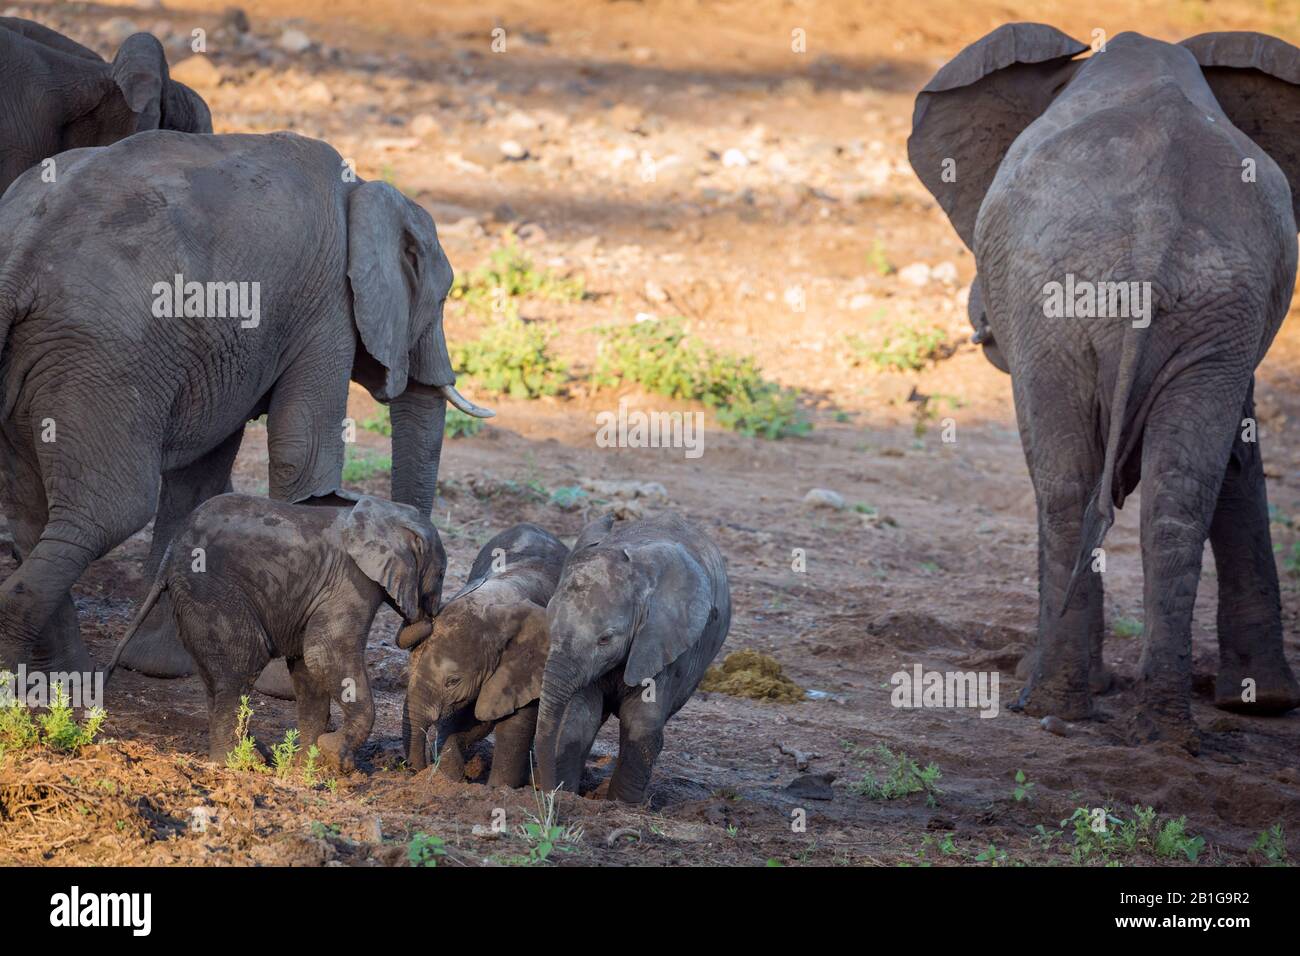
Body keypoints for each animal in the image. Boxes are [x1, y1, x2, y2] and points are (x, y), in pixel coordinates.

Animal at [0, 130, 491, 675]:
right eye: (443, 298)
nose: (417, 631)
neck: (362, 188)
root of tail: (19, 257)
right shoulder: (326, 306)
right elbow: (305, 450)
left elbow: (202, 471)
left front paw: (164, 665)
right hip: (103, 358)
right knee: (110, 511)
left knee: (32, 510)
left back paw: (60, 676)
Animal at [107, 493, 447, 770]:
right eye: (442, 573)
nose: (429, 619)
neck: (383, 514)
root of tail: (169, 555)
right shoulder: (352, 582)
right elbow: (324, 652)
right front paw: (335, 758)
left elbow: (308, 666)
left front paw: (306, 766)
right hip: (213, 592)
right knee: (241, 664)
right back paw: (234, 763)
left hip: (192, 602)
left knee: (215, 677)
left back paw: (253, 756)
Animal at [401, 523, 569, 787]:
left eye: (453, 681)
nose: (413, 770)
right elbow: (463, 722)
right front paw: (449, 780)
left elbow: (515, 726)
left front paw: (499, 790)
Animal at [535, 512, 730, 803]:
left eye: (605, 639)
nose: (548, 791)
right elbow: (579, 718)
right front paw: (571, 794)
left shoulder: (666, 643)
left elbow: (641, 723)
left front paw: (621, 804)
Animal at [908, 24, 1300, 747]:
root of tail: (1153, 235)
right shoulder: (1234, 331)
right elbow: (1235, 455)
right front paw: (1262, 704)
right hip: (1197, 304)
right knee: (1174, 495)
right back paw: (1160, 732)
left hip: (1057, 306)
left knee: (1064, 484)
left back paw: (1050, 702)